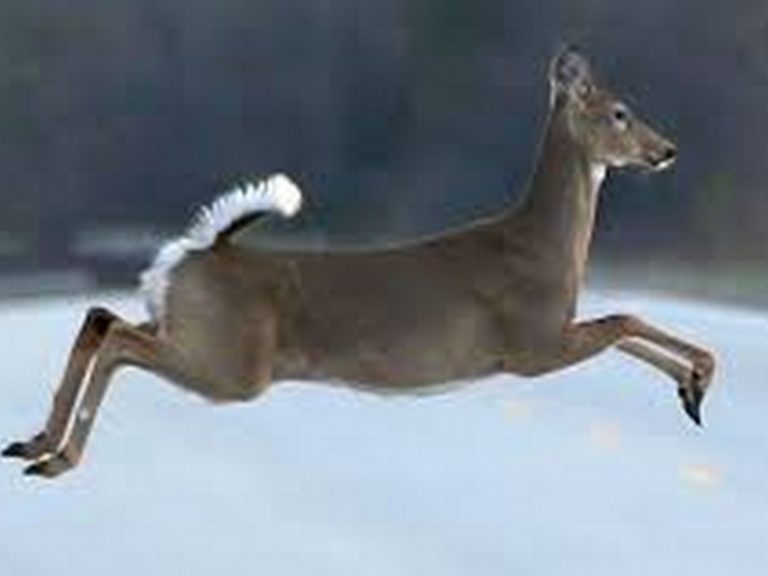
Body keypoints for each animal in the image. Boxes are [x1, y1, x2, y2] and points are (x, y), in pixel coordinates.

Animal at [3, 49, 715, 478]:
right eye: (619, 112)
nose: (668, 150)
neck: (541, 245)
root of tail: (199, 251)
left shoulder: (549, 336)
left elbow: (624, 326)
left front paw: (691, 390)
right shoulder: (531, 344)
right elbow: (624, 319)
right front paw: (700, 380)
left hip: (190, 332)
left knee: (102, 316)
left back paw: (34, 445)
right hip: (231, 365)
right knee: (118, 339)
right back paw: (57, 457)